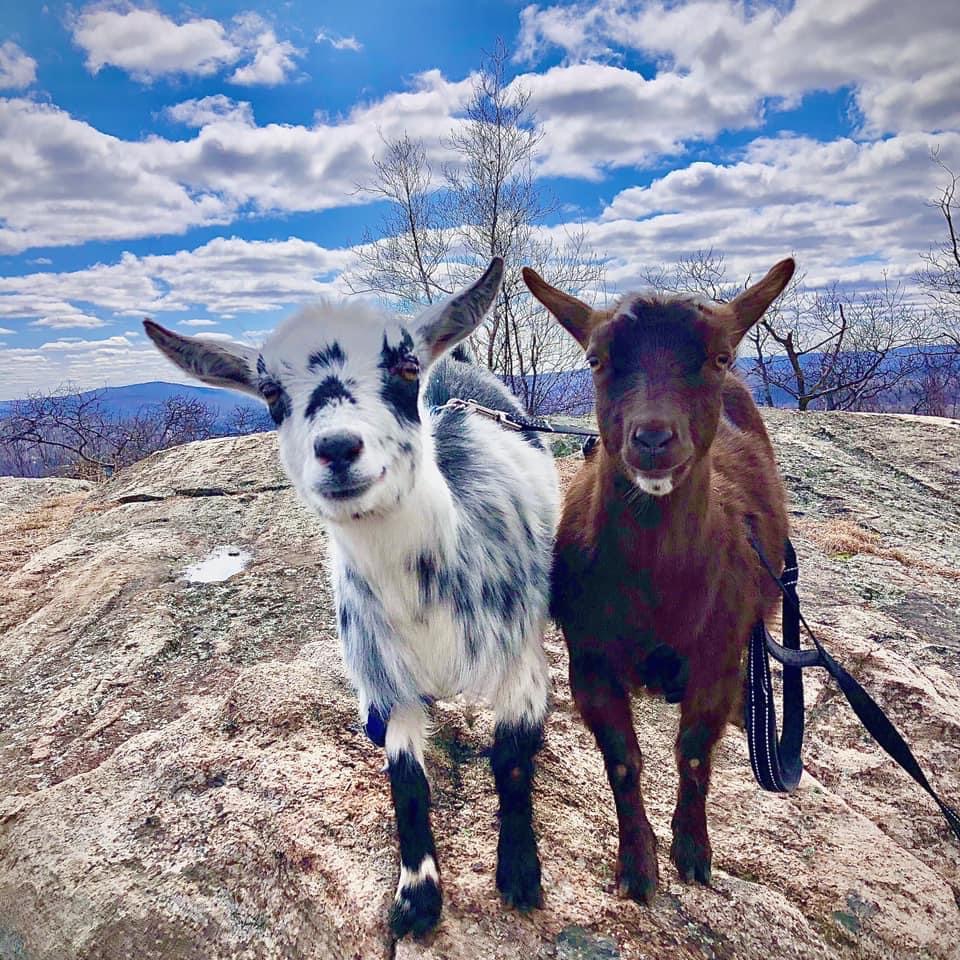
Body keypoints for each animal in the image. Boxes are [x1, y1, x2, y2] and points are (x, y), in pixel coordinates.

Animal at [144, 258, 559, 938]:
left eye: (406, 366)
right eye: (270, 394)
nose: (337, 448)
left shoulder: (517, 655)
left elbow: (510, 759)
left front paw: (520, 873)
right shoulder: (385, 678)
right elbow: (406, 779)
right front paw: (417, 897)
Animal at [523, 259, 794, 902]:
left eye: (718, 356)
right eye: (597, 359)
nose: (652, 439)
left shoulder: (719, 652)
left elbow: (693, 753)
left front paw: (693, 854)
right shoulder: (590, 658)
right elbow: (624, 759)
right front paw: (638, 865)